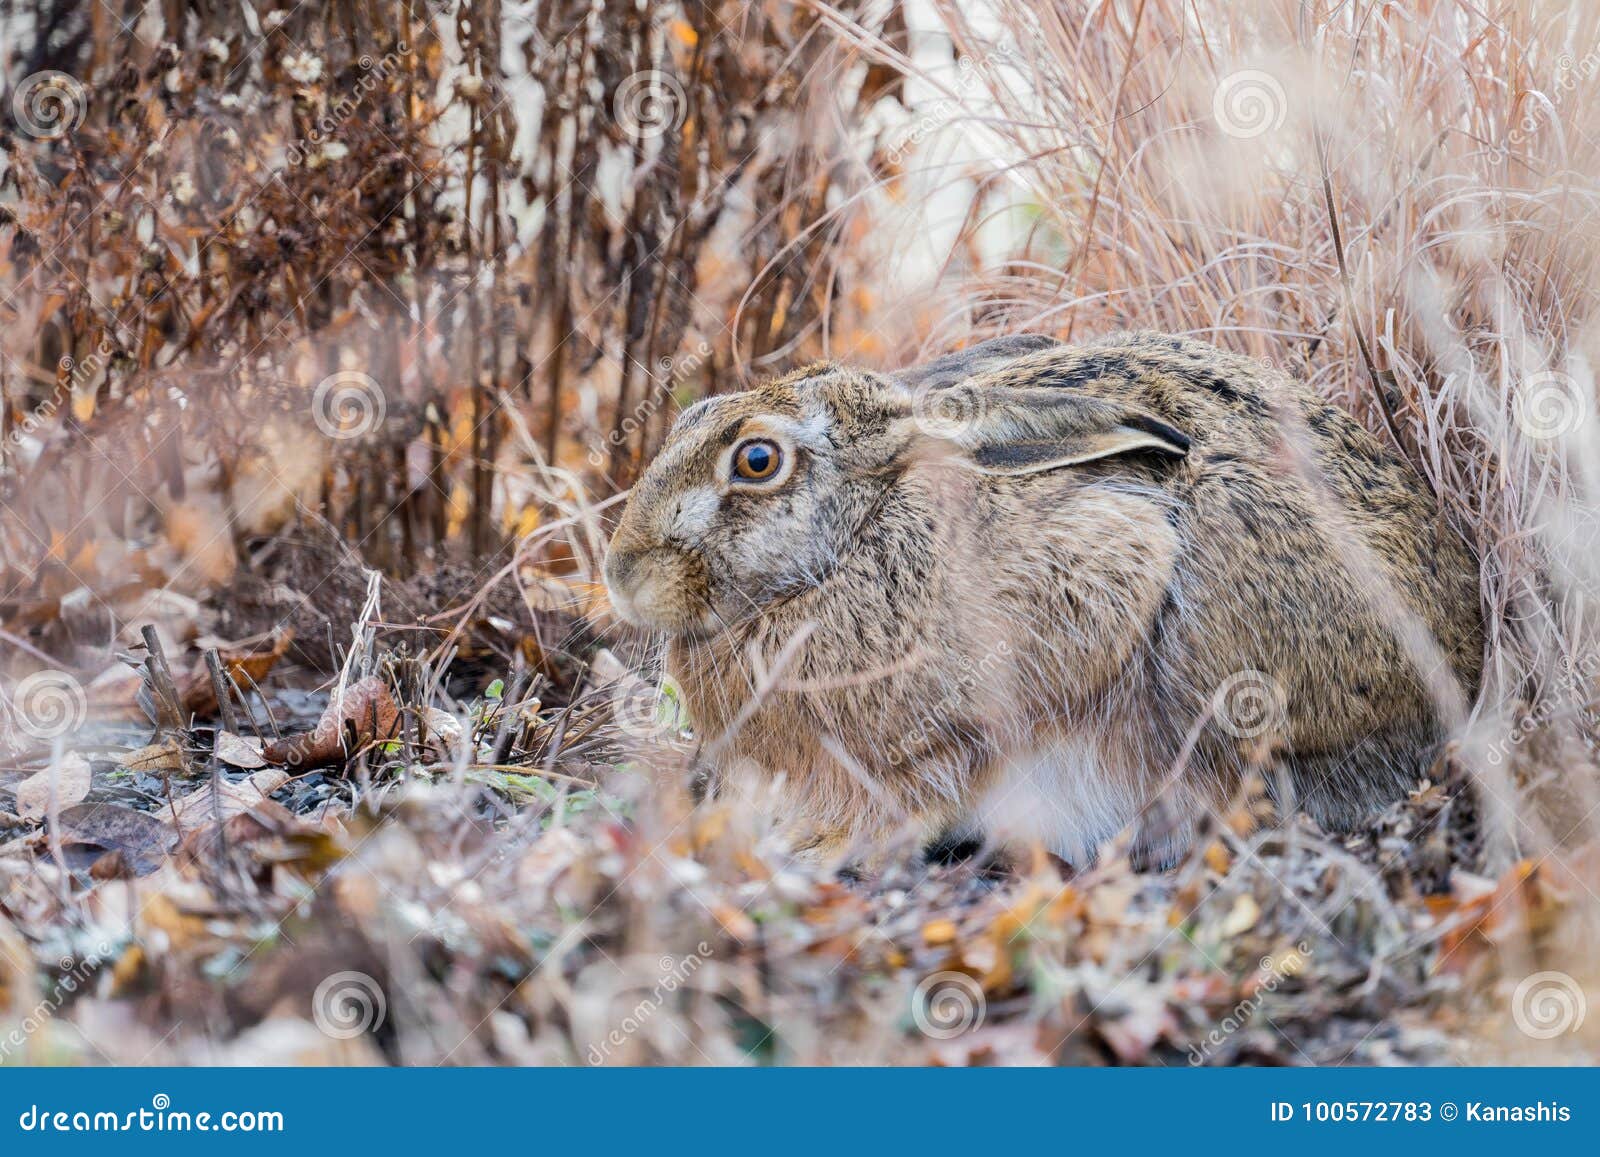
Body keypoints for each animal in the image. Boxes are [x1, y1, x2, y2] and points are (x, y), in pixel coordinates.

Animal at [603, 331, 1483, 868]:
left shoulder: (1098, 579)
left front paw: (819, 850)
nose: (622, 571)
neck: (856, 536)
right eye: (689, 415)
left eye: (757, 460)